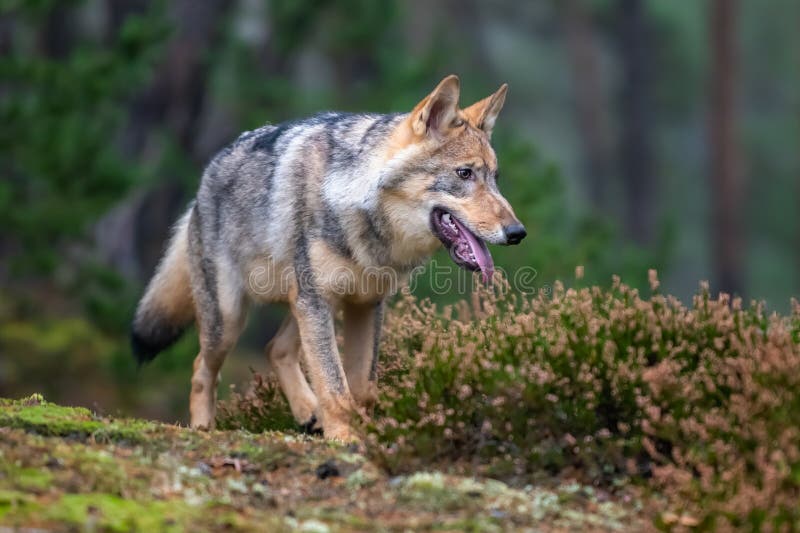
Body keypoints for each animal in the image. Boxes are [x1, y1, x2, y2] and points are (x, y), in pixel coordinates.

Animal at [131, 75, 526, 441]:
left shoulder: (366, 304)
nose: (517, 232)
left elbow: (361, 386)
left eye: (495, 178)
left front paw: (367, 431)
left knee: (275, 349)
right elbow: (335, 385)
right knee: (202, 368)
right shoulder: (318, 300)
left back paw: (309, 414)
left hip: (306, 304)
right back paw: (203, 427)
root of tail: (202, 187)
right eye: (464, 173)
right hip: (232, 320)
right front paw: (346, 438)